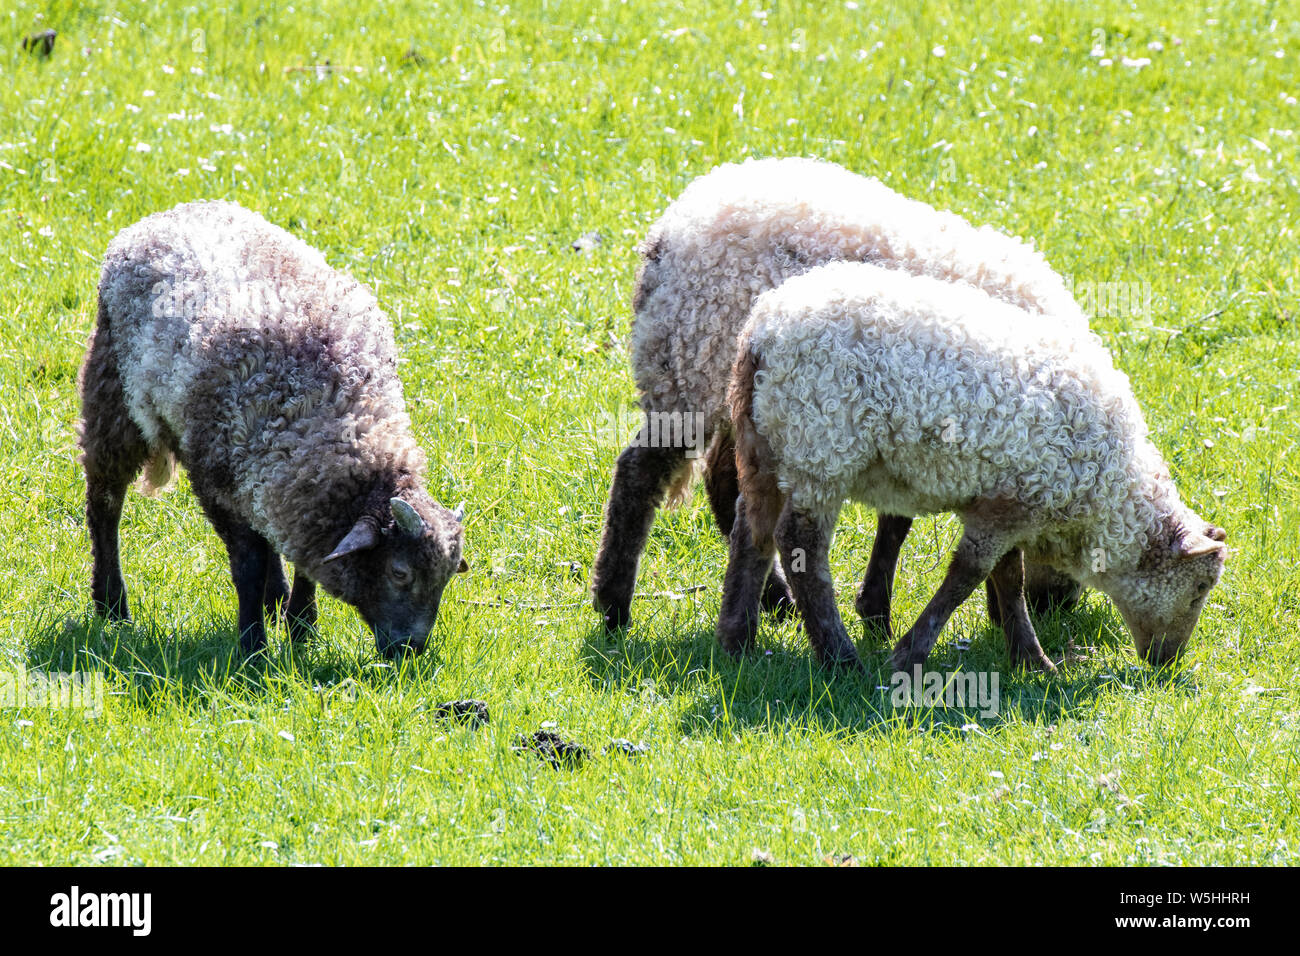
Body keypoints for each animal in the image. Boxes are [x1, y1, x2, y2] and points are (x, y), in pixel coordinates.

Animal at [79, 200, 468, 658]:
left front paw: (302, 627)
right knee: (104, 502)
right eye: (399, 572)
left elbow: (299, 562)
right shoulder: (219, 482)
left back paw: (276, 599)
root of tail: (168, 214)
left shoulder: (294, 482)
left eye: (445, 578)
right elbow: (247, 566)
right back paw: (111, 604)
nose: (409, 650)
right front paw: (254, 646)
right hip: (112, 394)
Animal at [591, 156, 1089, 636]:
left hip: (743, 398)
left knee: (726, 484)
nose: (1056, 605)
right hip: (692, 364)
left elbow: (896, 520)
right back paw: (613, 604)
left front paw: (876, 610)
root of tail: (668, 230)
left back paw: (775, 601)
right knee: (641, 471)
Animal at [721, 260, 1227, 671]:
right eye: (1201, 588)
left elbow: (1008, 580)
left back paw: (737, 640)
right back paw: (839, 659)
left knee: (751, 531)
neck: (1105, 489)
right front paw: (909, 654)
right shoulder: (1008, 507)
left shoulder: (1011, 503)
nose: (1167, 663)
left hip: (763, 442)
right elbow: (968, 576)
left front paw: (1030, 660)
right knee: (798, 544)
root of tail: (764, 329)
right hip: (821, 446)